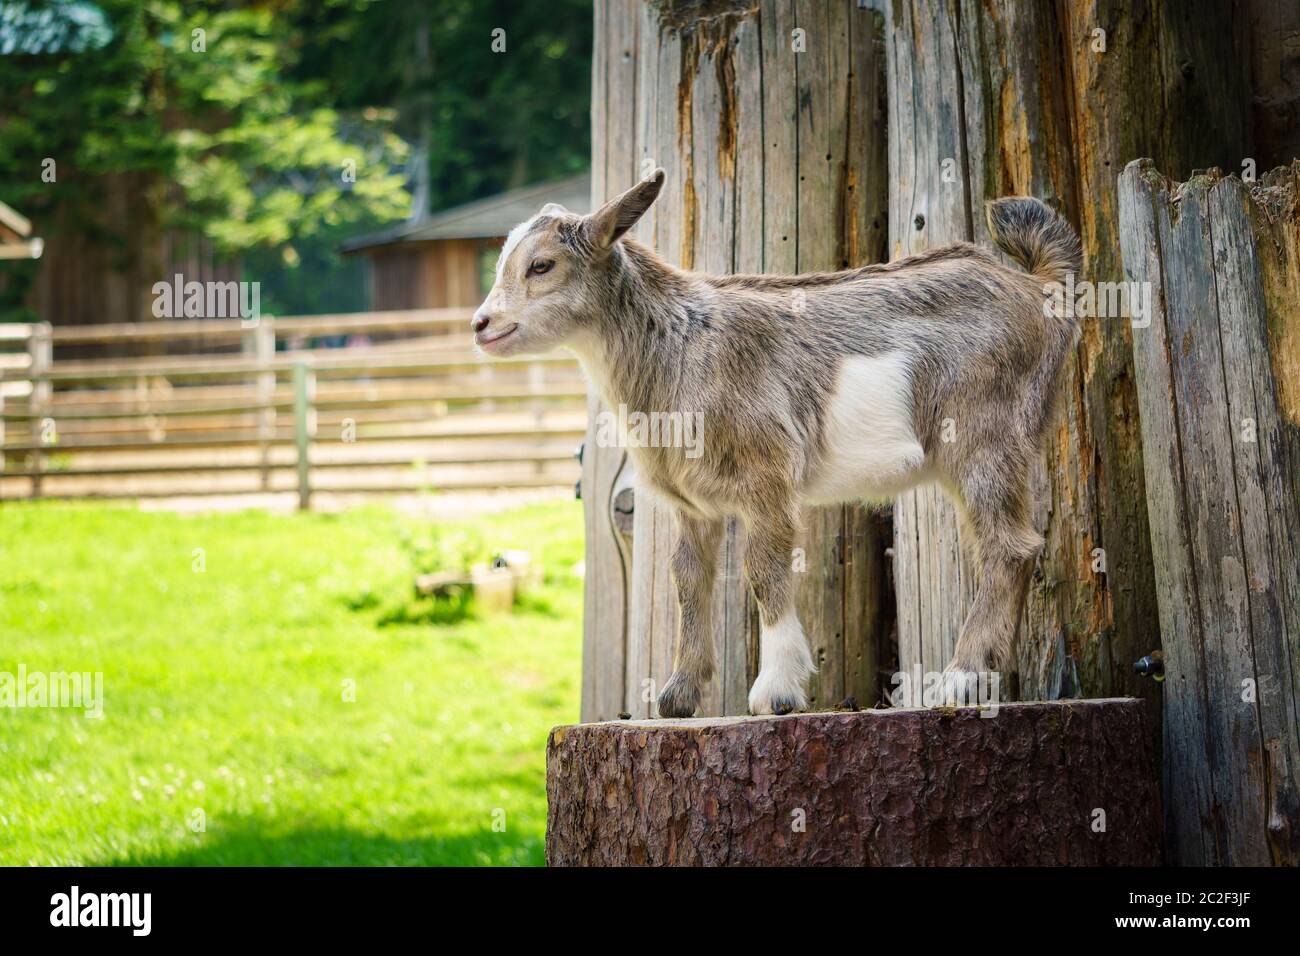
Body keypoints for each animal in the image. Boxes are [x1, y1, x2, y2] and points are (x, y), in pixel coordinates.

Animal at [473, 170, 1082, 717]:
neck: (679, 347)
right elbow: (688, 579)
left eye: (542, 265)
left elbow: (764, 571)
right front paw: (678, 695)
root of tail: (1039, 289)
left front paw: (777, 692)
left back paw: (960, 679)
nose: (481, 324)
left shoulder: (767, 477)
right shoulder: (691, 505)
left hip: (985, 437)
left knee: (1009, 546)